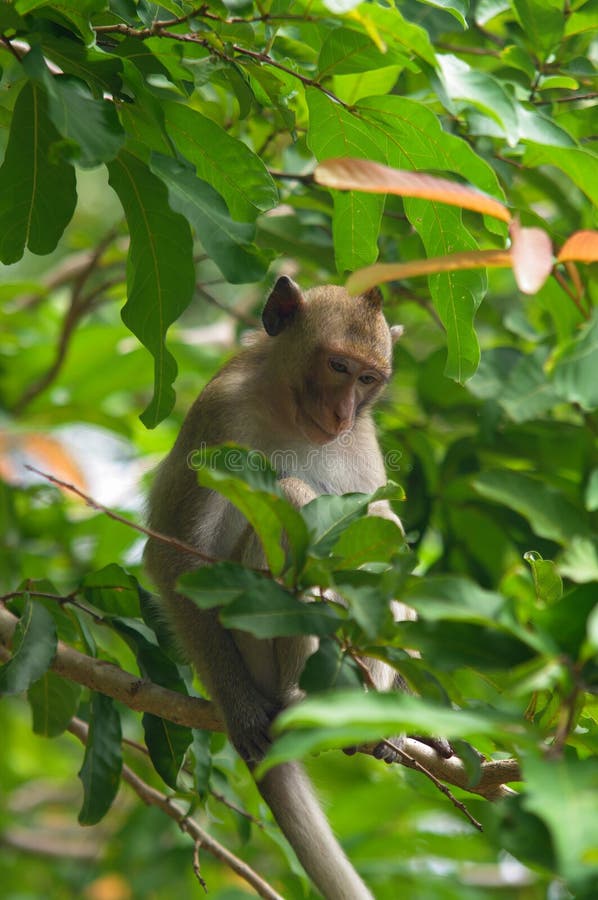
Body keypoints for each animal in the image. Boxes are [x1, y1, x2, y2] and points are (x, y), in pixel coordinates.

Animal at [145, 276, 448, 900]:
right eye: (337, 365)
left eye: (368, 379)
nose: (341, 411)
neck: (286, 407)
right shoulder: (219, 413)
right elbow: (172, 557)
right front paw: (238, 712)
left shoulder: (362, 440)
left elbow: (381, 526)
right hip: (252, 648)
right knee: (291, 493)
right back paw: (297, 700)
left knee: (381, 529)